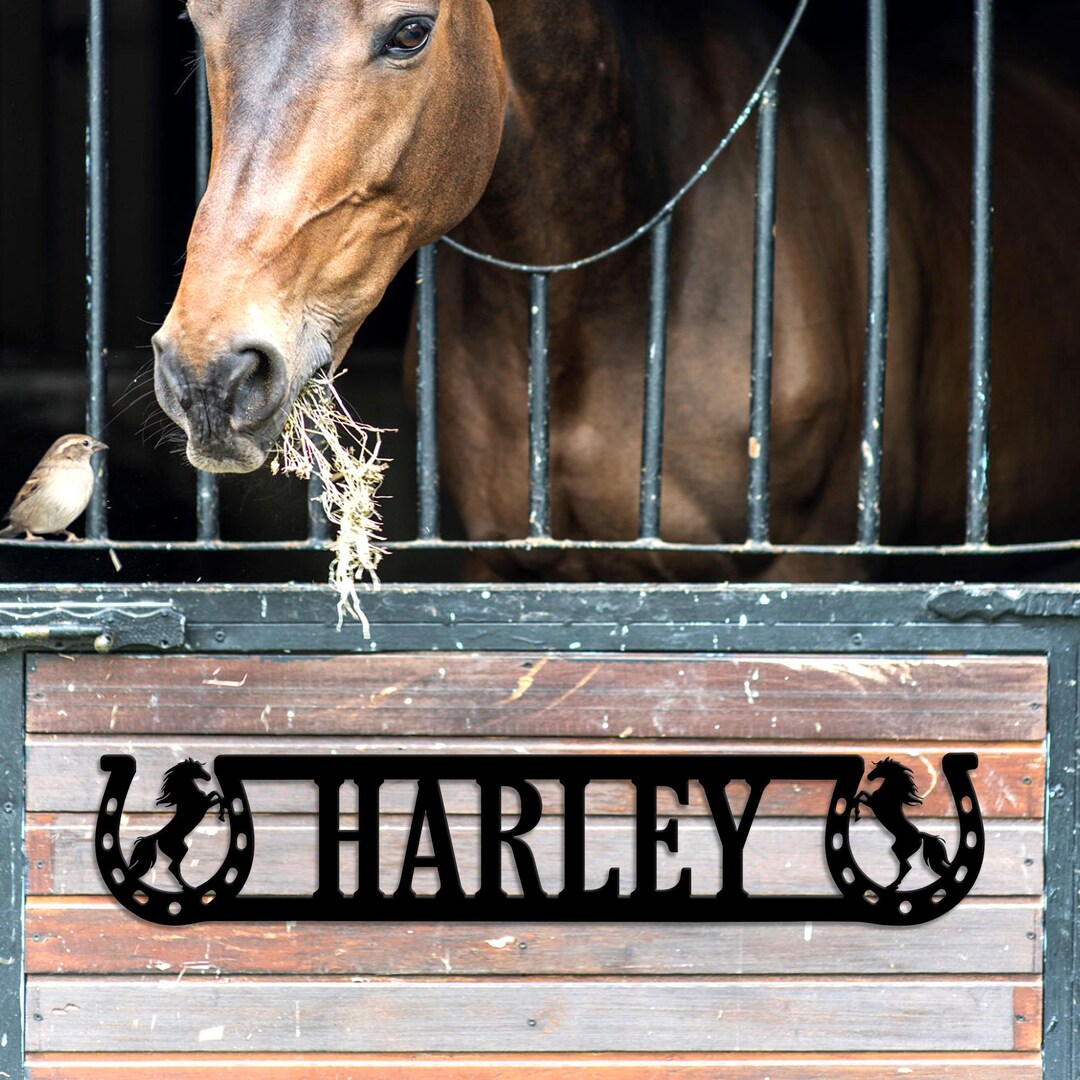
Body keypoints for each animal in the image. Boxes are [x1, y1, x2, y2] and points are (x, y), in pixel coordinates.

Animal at [127, 758, 226, 890]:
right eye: (196, 768)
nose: (209, 777)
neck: (186, 794)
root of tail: (157, 837)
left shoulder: (205, 802)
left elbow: (215, 794)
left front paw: (221, 816)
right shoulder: (204, 805)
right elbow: (218, 796)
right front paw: (221, 816)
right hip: (180, 849)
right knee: (173, 867)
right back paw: (187, 887)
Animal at [852, 757, 951, 891]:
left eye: (881, 768)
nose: (869, 777)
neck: (891, 793)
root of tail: (920, 836)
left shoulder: (873, 805)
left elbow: (860, 796)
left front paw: (857, 815)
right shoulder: (872, 802)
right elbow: (862, 793)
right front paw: (857, 814)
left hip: (900, 850)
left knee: (906, 866)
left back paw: (892, 886)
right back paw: (894, 885)